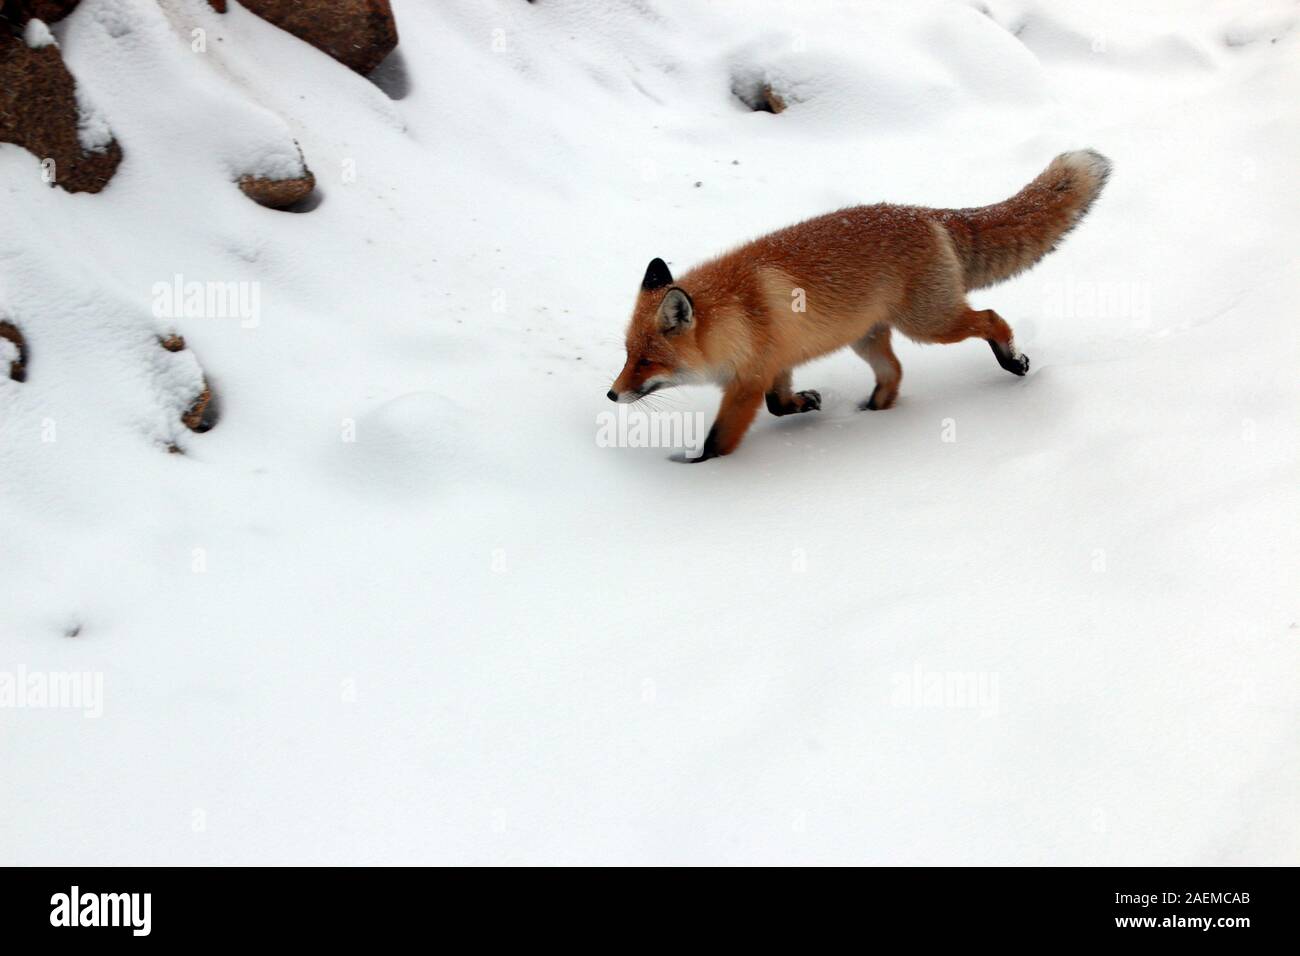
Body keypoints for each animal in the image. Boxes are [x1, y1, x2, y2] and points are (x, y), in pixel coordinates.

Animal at [607, 149, 1112, 461]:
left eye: (648, 360)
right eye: (627, 355)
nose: (612, 394)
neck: (736, 313)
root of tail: (925, 212)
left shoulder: (747, 382)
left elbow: (721, 440)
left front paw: (697, 468)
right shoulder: (776, 360)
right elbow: (780, 404)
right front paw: (808, 402)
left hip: (930, 324)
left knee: (990, 318)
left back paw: (1012, 360)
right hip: (869, 337)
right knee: (896, 372)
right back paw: (871, 413)